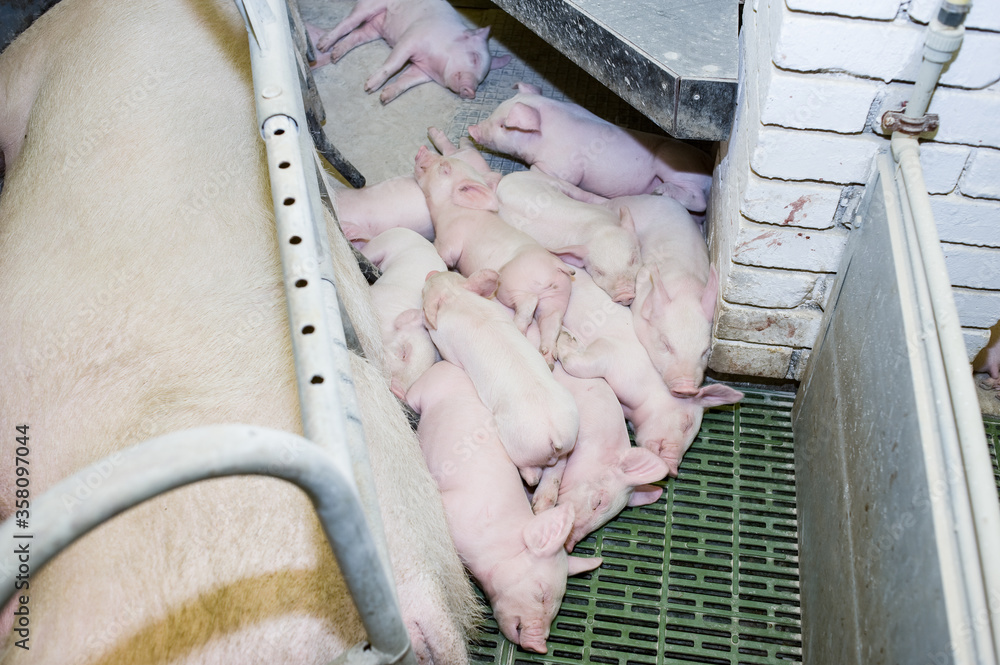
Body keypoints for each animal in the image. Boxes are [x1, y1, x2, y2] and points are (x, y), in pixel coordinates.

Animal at [309, 0, 511, 103]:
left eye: (482, 78)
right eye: (474, 57)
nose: (471, 91)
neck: (434, 63)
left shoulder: (423, 72)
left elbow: (407, 80)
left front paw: (384, 98)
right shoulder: (410, 39)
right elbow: (394, 64)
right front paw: (369, 88)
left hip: (375, 28)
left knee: (356, 34)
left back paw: (334, 55)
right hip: (369, 6)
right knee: (348, 22)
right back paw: (322, 46)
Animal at [414, 146, 574, 366]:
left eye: (444, 168)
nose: (422, 148)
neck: (452, 209)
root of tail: (556, 264)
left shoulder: (450, 237)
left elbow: (446, 254)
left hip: (511, 284)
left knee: (528, 304)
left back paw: (520, 329)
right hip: (558, 297)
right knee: (551, 322)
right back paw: (548, 357)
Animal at [420, 269, 578, 499]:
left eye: (424, 293)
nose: (431, 272)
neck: (457, 297)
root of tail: (555, 435)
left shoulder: (446, 345)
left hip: (516, 443)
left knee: (533, 476)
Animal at [467, 82, 713, 213]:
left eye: (504, 125)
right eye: (495, 111)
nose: (471, 129)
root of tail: (707, 164)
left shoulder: (563, 169)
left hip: (672, 163)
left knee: (699, 201)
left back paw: (661, 191)